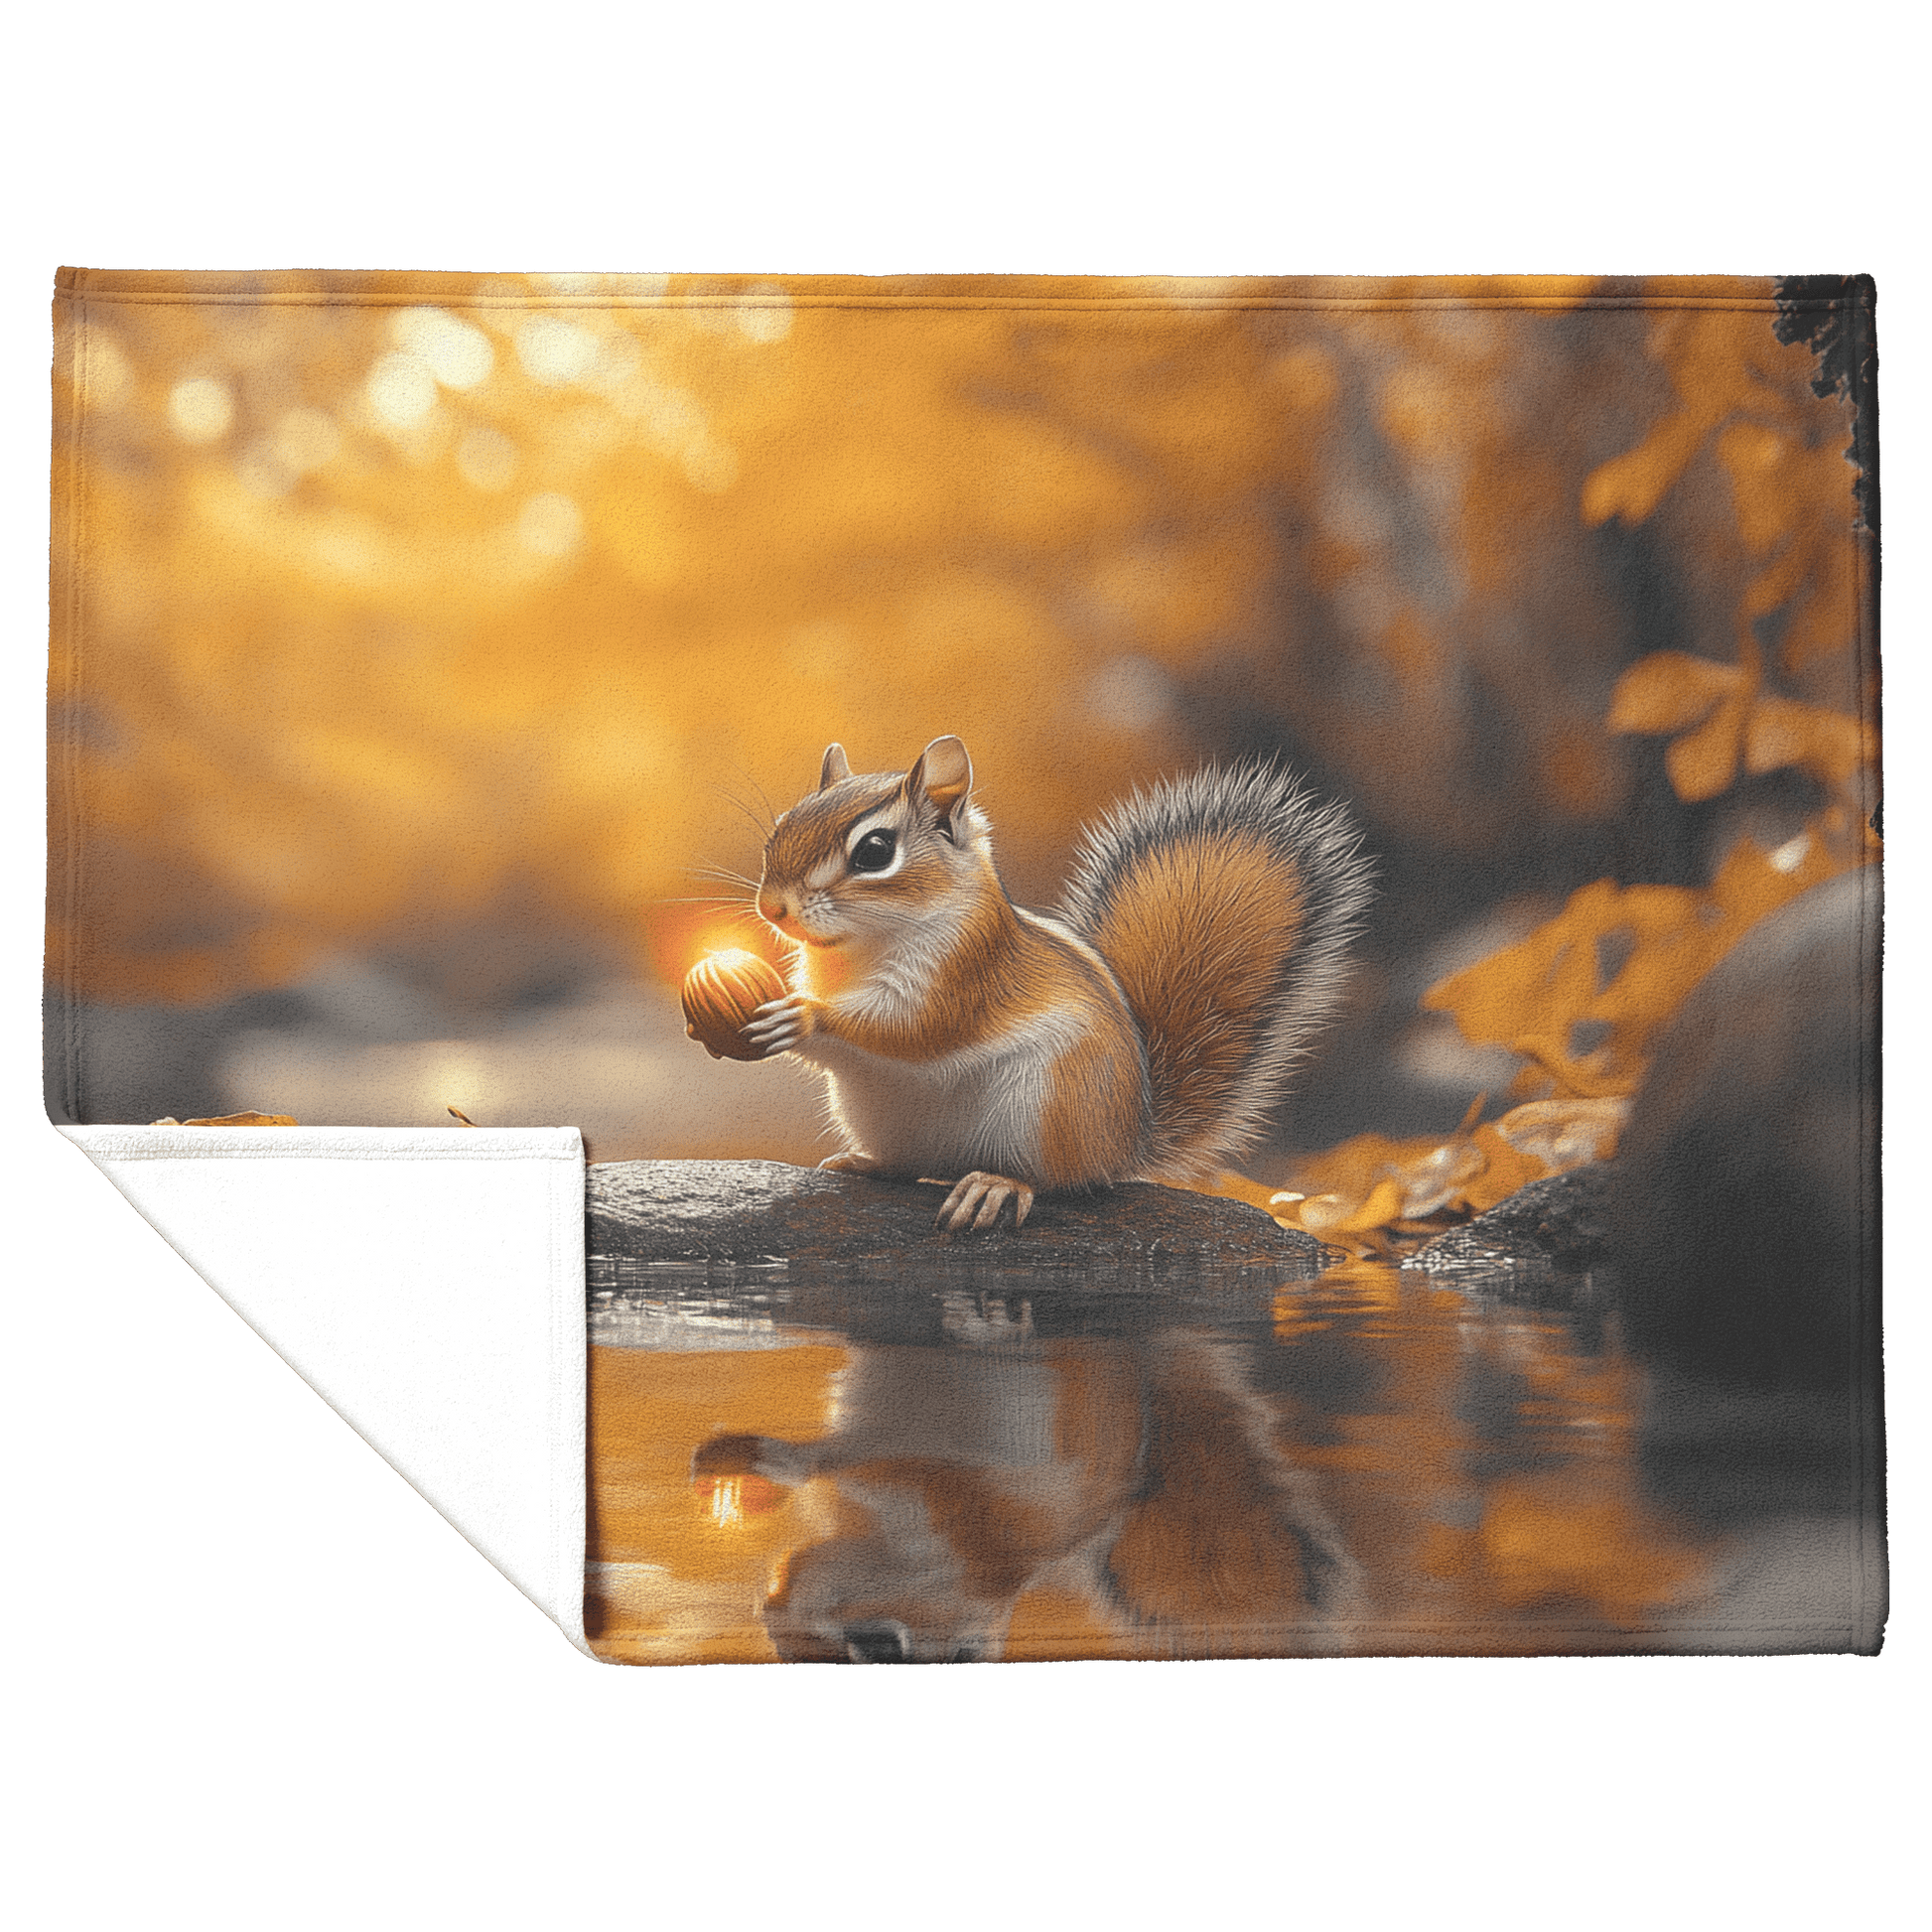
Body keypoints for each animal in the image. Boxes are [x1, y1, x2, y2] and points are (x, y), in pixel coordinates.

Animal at [738, 735, 1372, 1233]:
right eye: (781, 827)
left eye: (874, 851)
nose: (773, 909)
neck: (858, 949)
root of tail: (1126, 1144)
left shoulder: (967, 973)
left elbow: (913, 1027)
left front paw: (806, 1015)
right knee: (917, 1166)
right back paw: (869, 1164)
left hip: (1050, 1105)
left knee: (1059, 1181)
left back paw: (998, 1185)